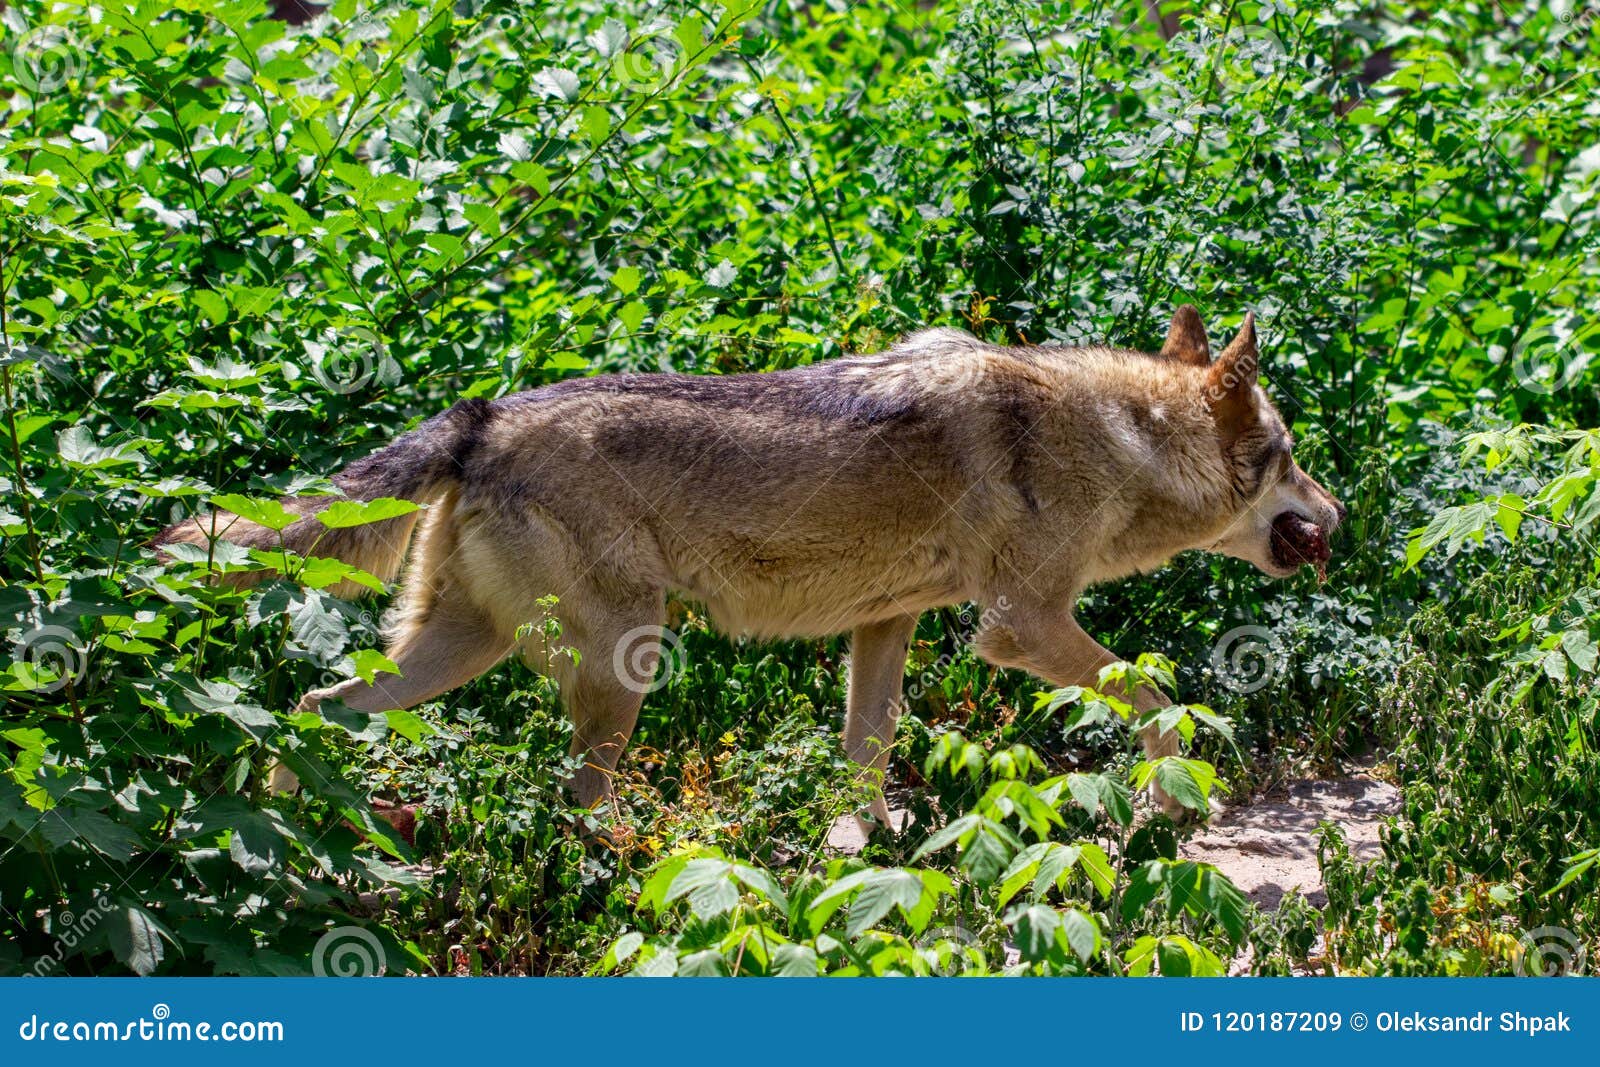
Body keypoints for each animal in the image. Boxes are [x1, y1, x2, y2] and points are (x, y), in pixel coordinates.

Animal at [156, 308, 1344, 824]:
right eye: (1292, 457)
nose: (1341, 513)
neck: (1114, 438)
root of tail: (483, 413)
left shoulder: (888, 626)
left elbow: (864, 761)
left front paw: (860, 866)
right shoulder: (1020, 625)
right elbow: (1158, 693)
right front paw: (1171, 801)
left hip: (460, 649)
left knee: (313, 706)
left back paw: (301, 837)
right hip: (624, 665)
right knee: (579, 799)